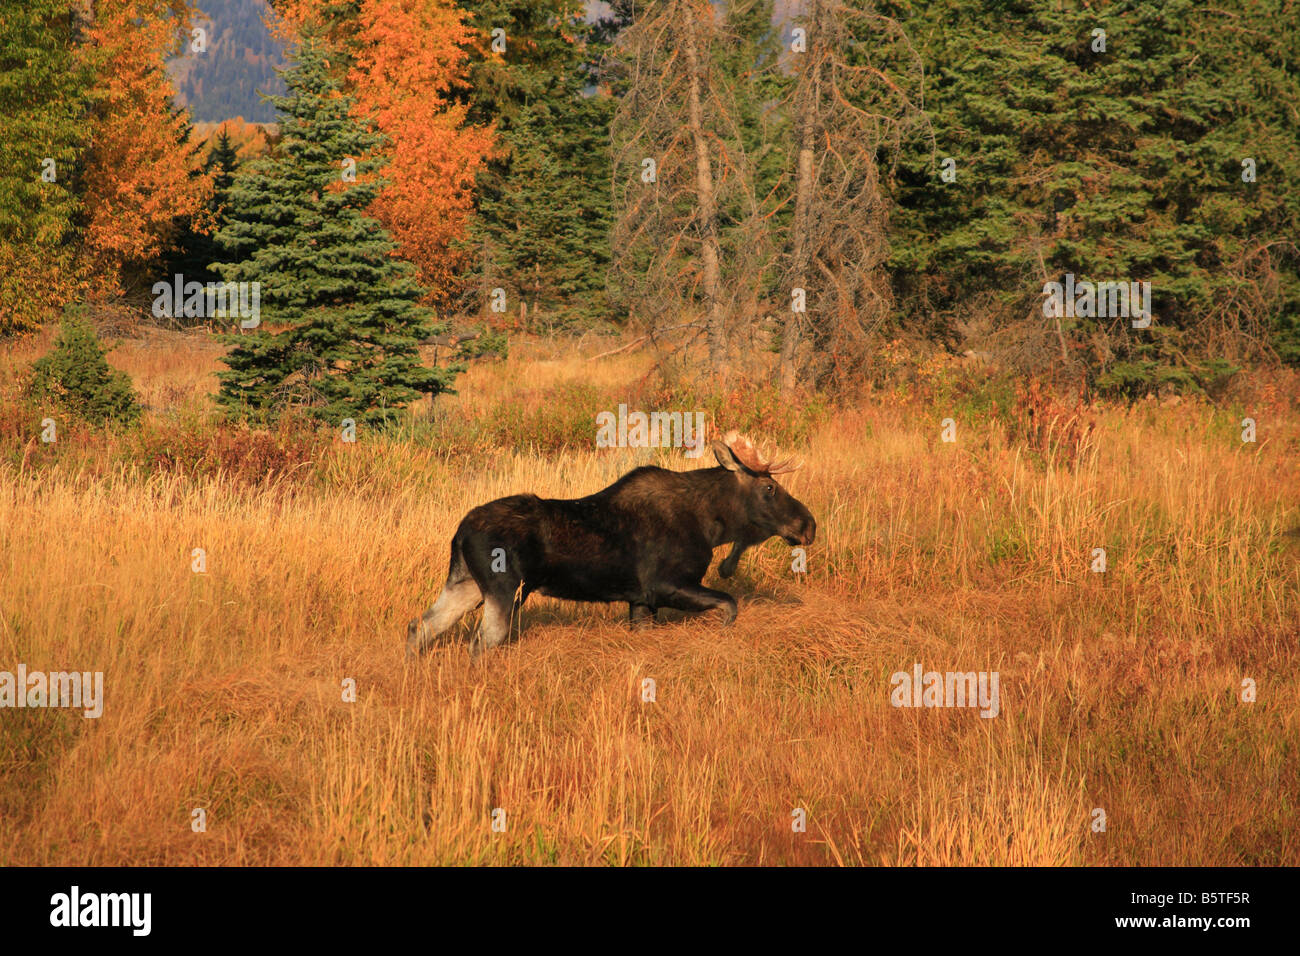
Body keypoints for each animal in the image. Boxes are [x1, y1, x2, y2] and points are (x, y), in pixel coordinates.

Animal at [406, 431, 816, 658]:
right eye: (769, 487)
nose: (809, 526)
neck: (713, 526)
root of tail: (460, 531)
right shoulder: (665, 586)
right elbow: (730, 606)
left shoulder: (639, 601)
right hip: (505, 589)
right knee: (480, 643)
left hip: (466, 584)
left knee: (419, 627)